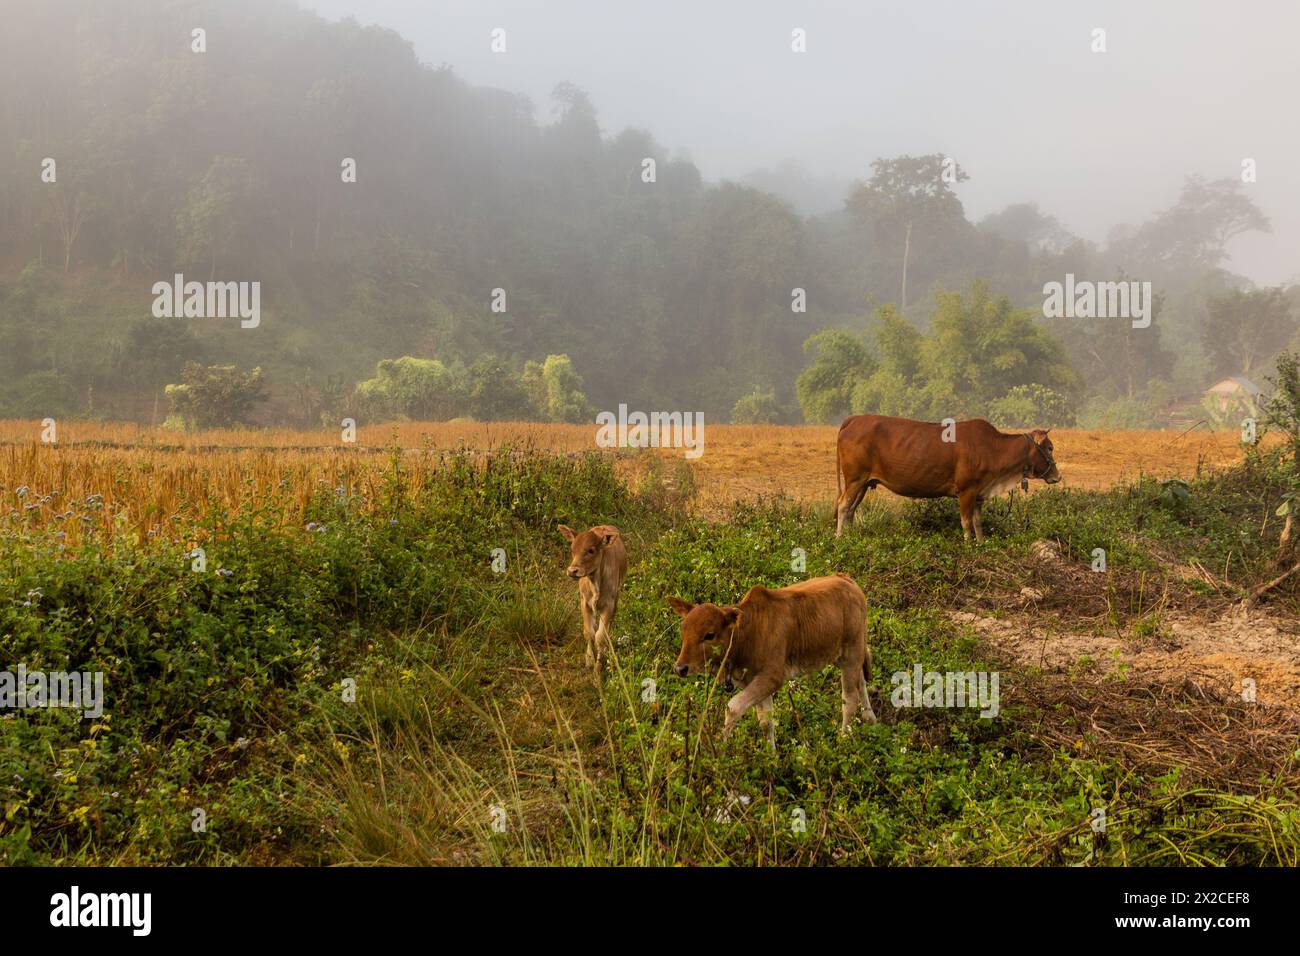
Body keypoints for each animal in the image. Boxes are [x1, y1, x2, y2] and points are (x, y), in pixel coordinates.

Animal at [559, 524, 628, 675]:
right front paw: (590, 660)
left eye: (591, 550)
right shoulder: (584, 602)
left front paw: (598, 668)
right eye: (572, 549)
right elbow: (589, 633)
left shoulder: (609, 604)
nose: (572, 571)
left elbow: (600, 636)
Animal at [668, 573, 876, 749]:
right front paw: (771, 756)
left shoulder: (772, 677)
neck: (749, 633)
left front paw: (721, 748)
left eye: (709, 634)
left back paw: (844, 740)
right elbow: (765, 722)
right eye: (683, 629)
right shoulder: (754, 682)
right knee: (861, 681)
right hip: (845, 654)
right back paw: (870, 719)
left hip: (851, 653)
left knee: (850, 699)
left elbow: (733, 708)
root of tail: (847, 580)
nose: (680, 668)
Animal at [834, 415, 1061, 541]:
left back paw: (851, 536)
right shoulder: (966, 491)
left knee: (851, 509)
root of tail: (854, 419)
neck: (993, 449)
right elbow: (966, 523)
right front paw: (969, 545)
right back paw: (840, 538)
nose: (1057, 476)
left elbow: (978, 522)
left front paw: (981, 543)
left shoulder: (979, 494)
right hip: (855, 479)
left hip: (864, 482)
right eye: (1050, 447)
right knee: (843, 505)